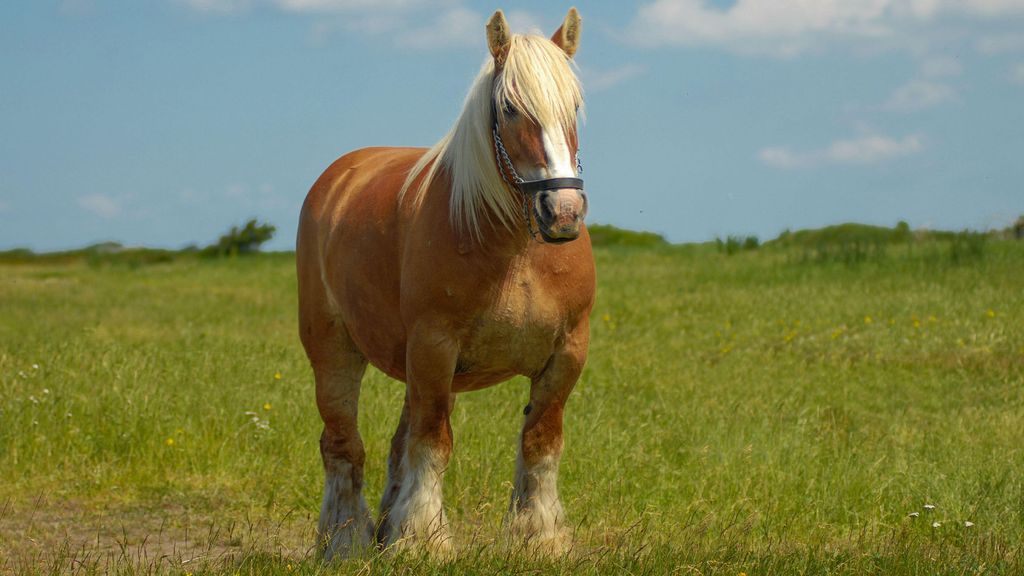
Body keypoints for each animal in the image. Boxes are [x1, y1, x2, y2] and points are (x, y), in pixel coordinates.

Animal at [296, 8, 594, 559]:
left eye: (575, 106)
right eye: (510, 108)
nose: (562, 211)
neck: (516, 254)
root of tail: (338, 178)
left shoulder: (567, 353)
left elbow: (540, 443)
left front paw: (538, 537)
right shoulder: (434, 346)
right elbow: (433, 444)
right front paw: (424, 540)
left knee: (396, 446)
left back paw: (383, 533)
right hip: (334, 350)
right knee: (343, 444)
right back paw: (344, 539)